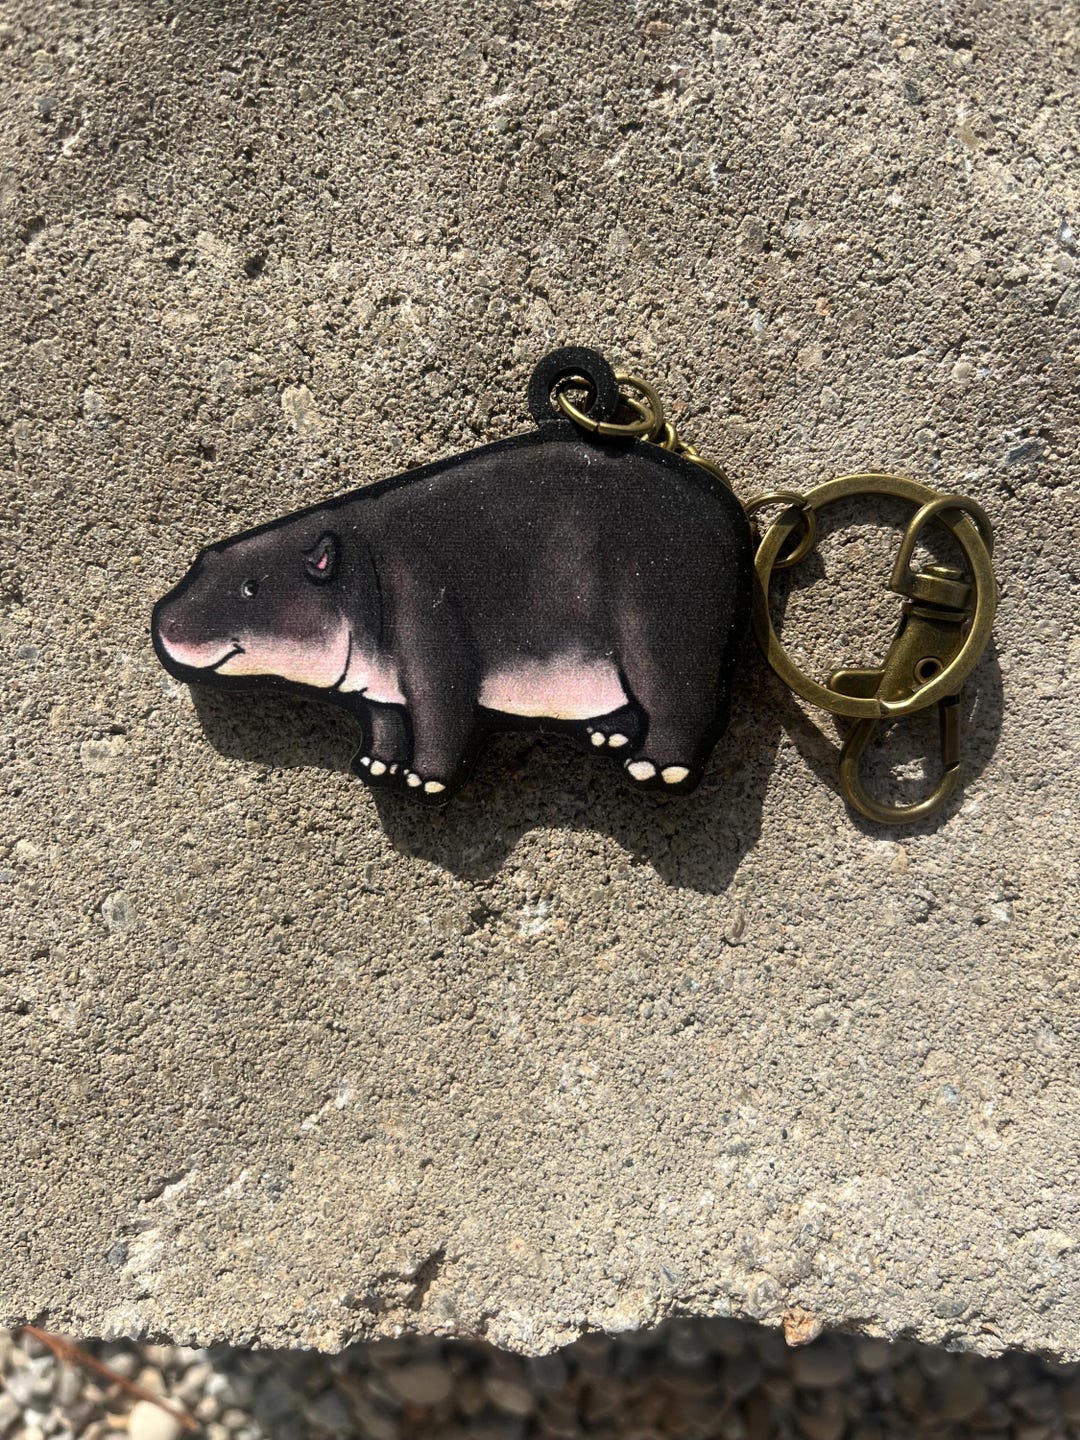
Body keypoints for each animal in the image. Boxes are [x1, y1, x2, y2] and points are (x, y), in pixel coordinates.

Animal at [152, 348, 753, 803]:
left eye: (250, 587)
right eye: (201, 561)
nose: (163, 622)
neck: (359, 571)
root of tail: (724, 515)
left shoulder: (433, 639)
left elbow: (440, 721)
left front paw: (423, 781)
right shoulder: (378, 687)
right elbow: (388, 725)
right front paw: (376, 768)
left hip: (662, 632)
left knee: (679, 699)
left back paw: (655, 767)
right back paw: (606, 736)